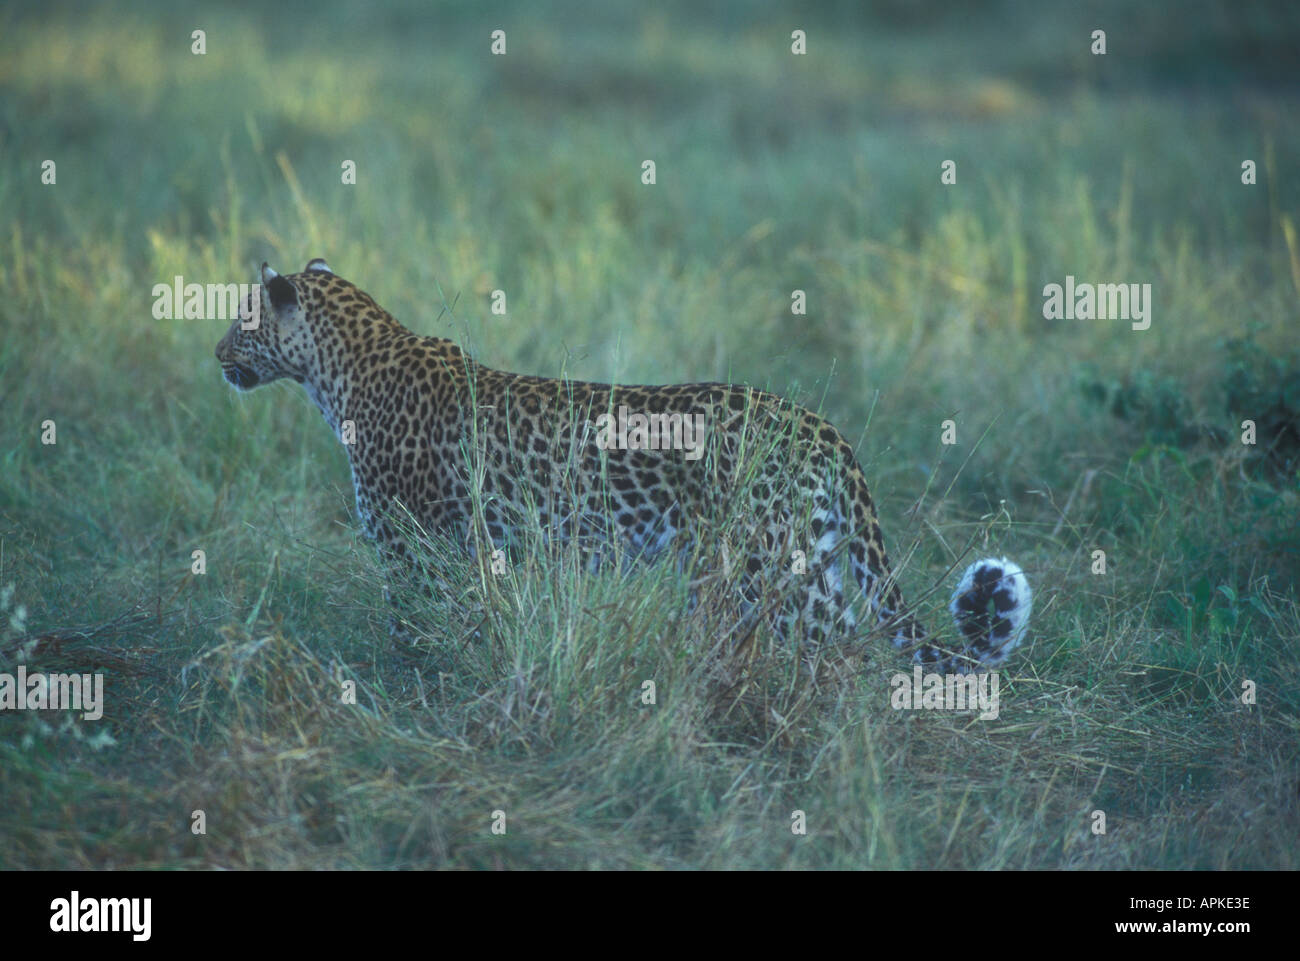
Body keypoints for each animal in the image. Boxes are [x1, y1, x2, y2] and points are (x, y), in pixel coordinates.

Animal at [215, 259, 1032, 672]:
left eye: (242, 320)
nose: (215, 352)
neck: (338, 373)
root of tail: (815, 423)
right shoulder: (474, 550)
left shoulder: (412, 547)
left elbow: (409, 629)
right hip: (807, 555)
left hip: (762, 569)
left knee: (838, 642)